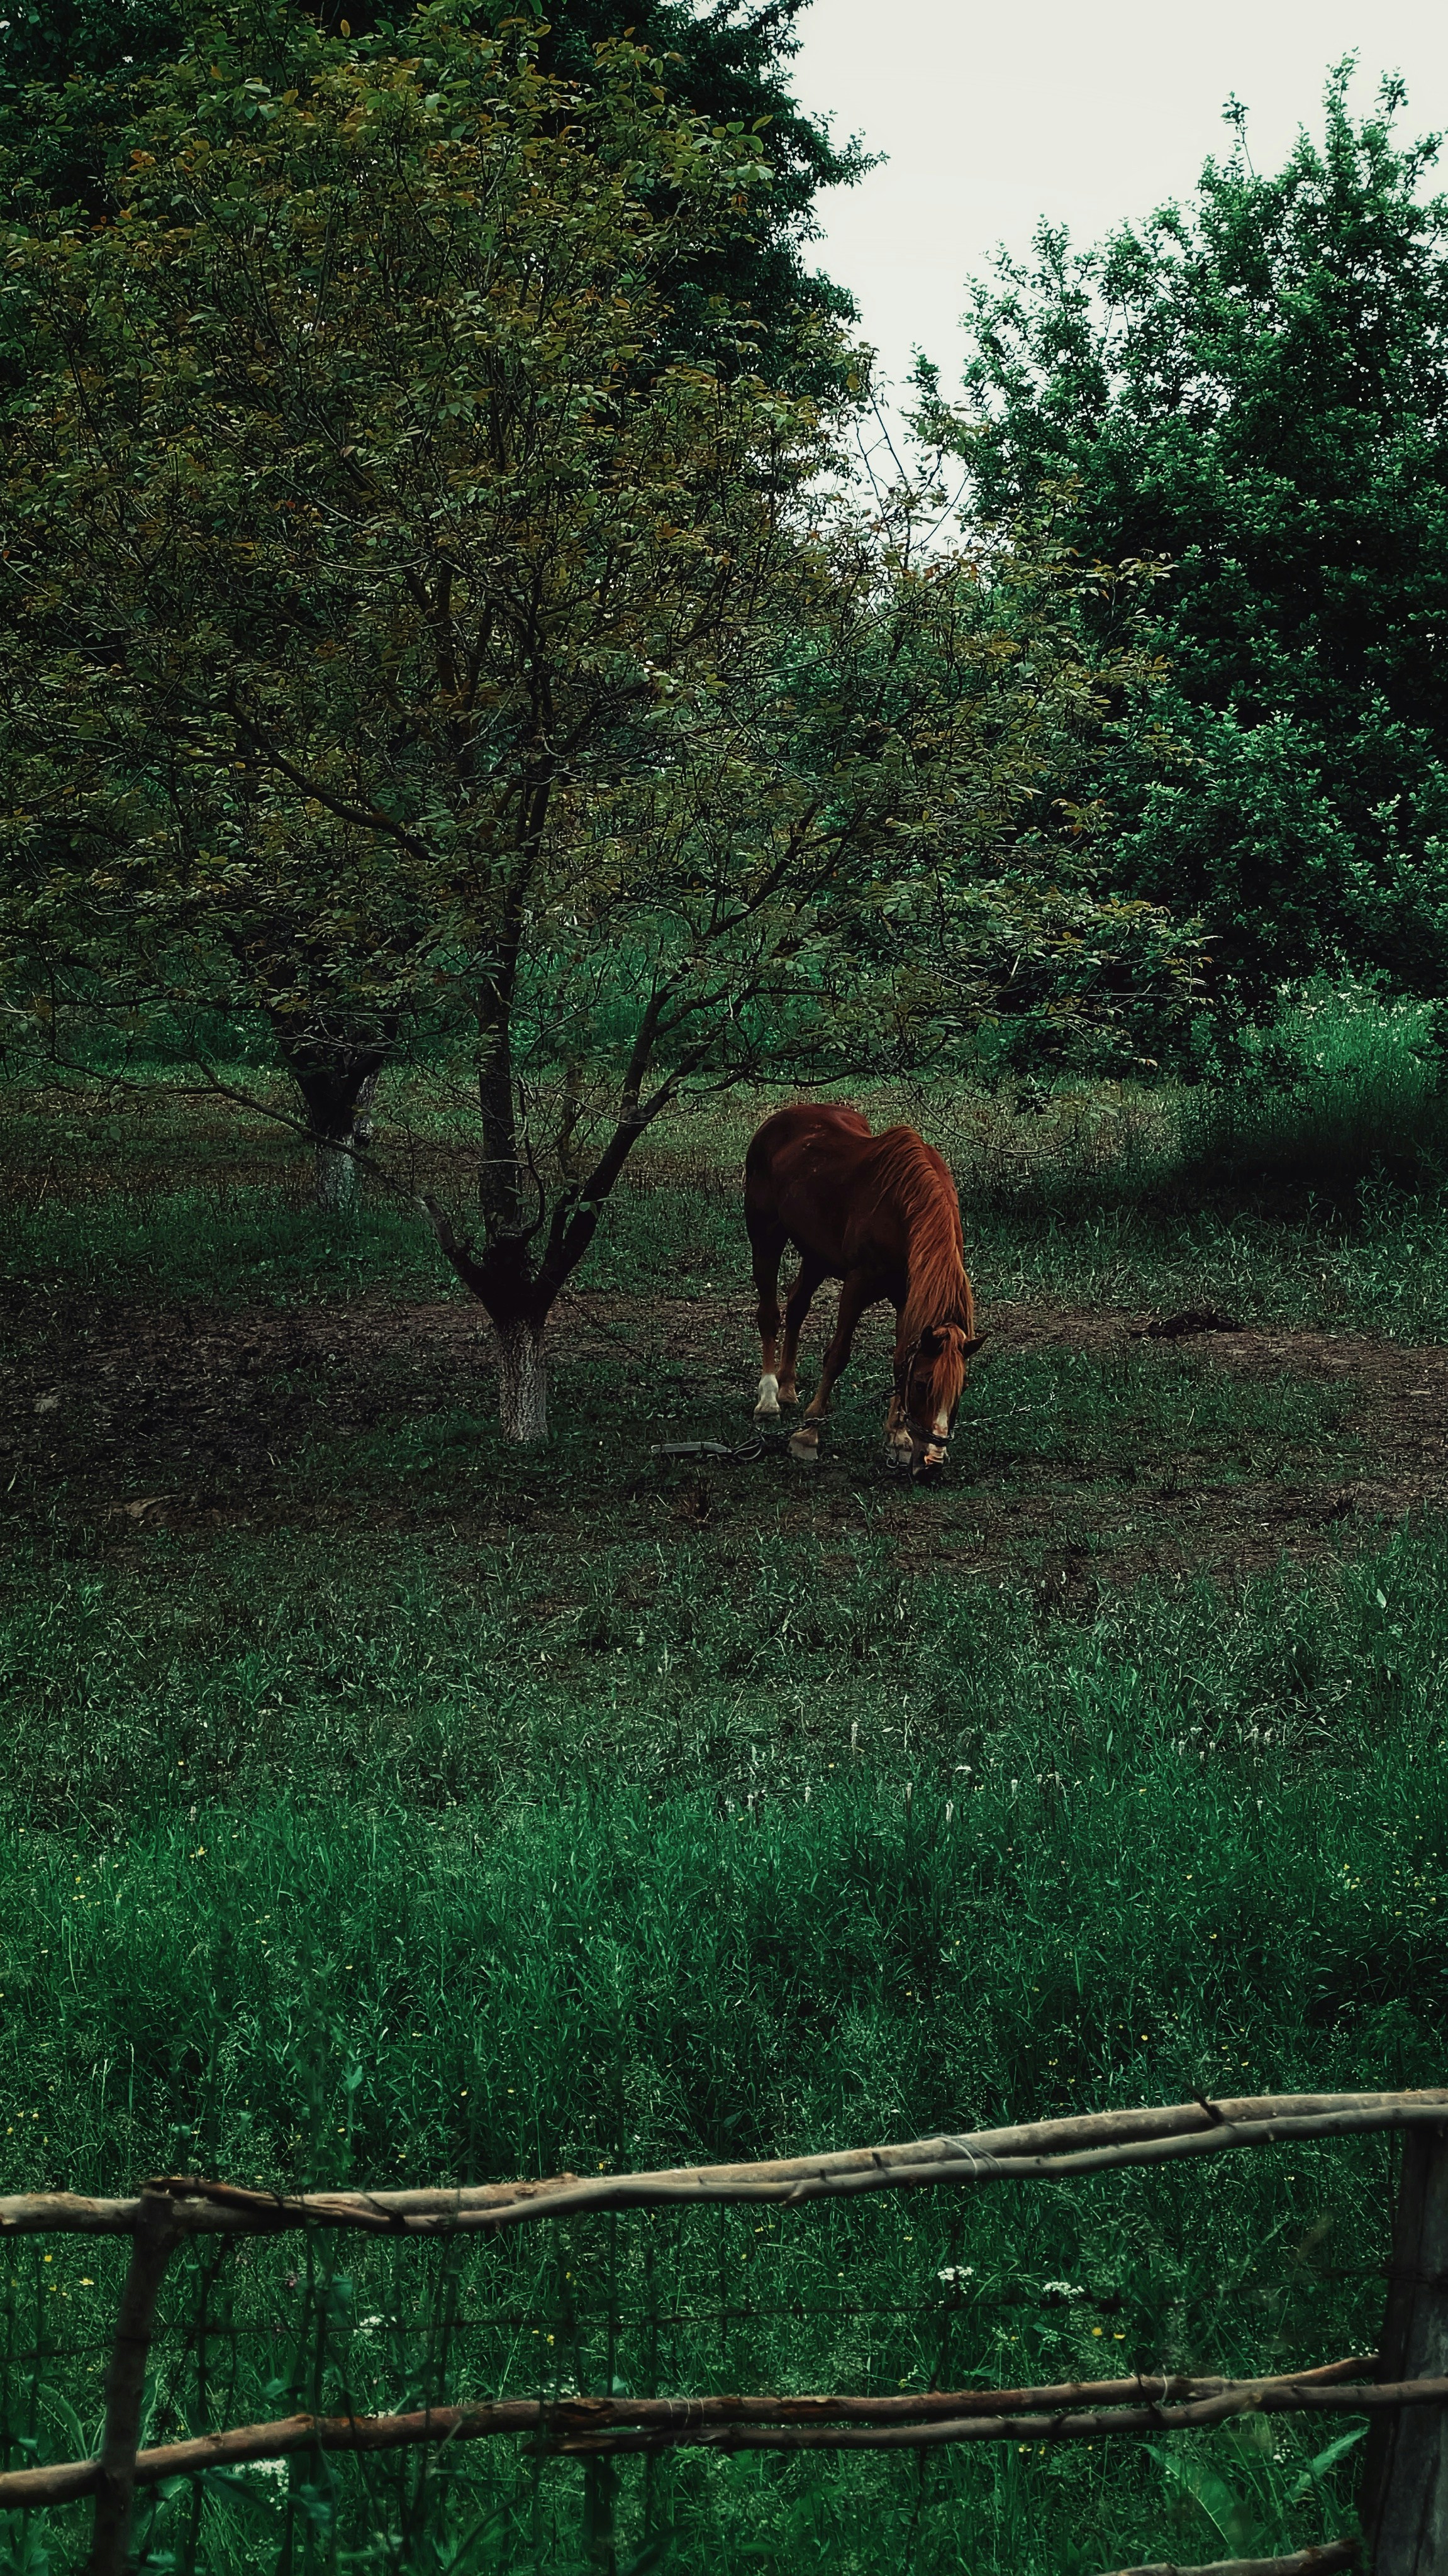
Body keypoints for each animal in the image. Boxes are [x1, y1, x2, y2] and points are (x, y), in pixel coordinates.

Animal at [745, 1103, 984, 1478]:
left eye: (961, 1389)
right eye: (922, 1385)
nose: (931, 1463)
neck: (903, 1207)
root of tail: (779, 1119)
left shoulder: (906, 1296)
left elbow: (901, 1360)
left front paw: (898, 1438)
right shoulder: (858, 1286)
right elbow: (837, 1356)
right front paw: (808, 1434)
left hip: (816, 1255)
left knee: (797, 1304)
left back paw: (787, 1388)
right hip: (766, 1238)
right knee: (770, 1315)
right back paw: (769, 1399)